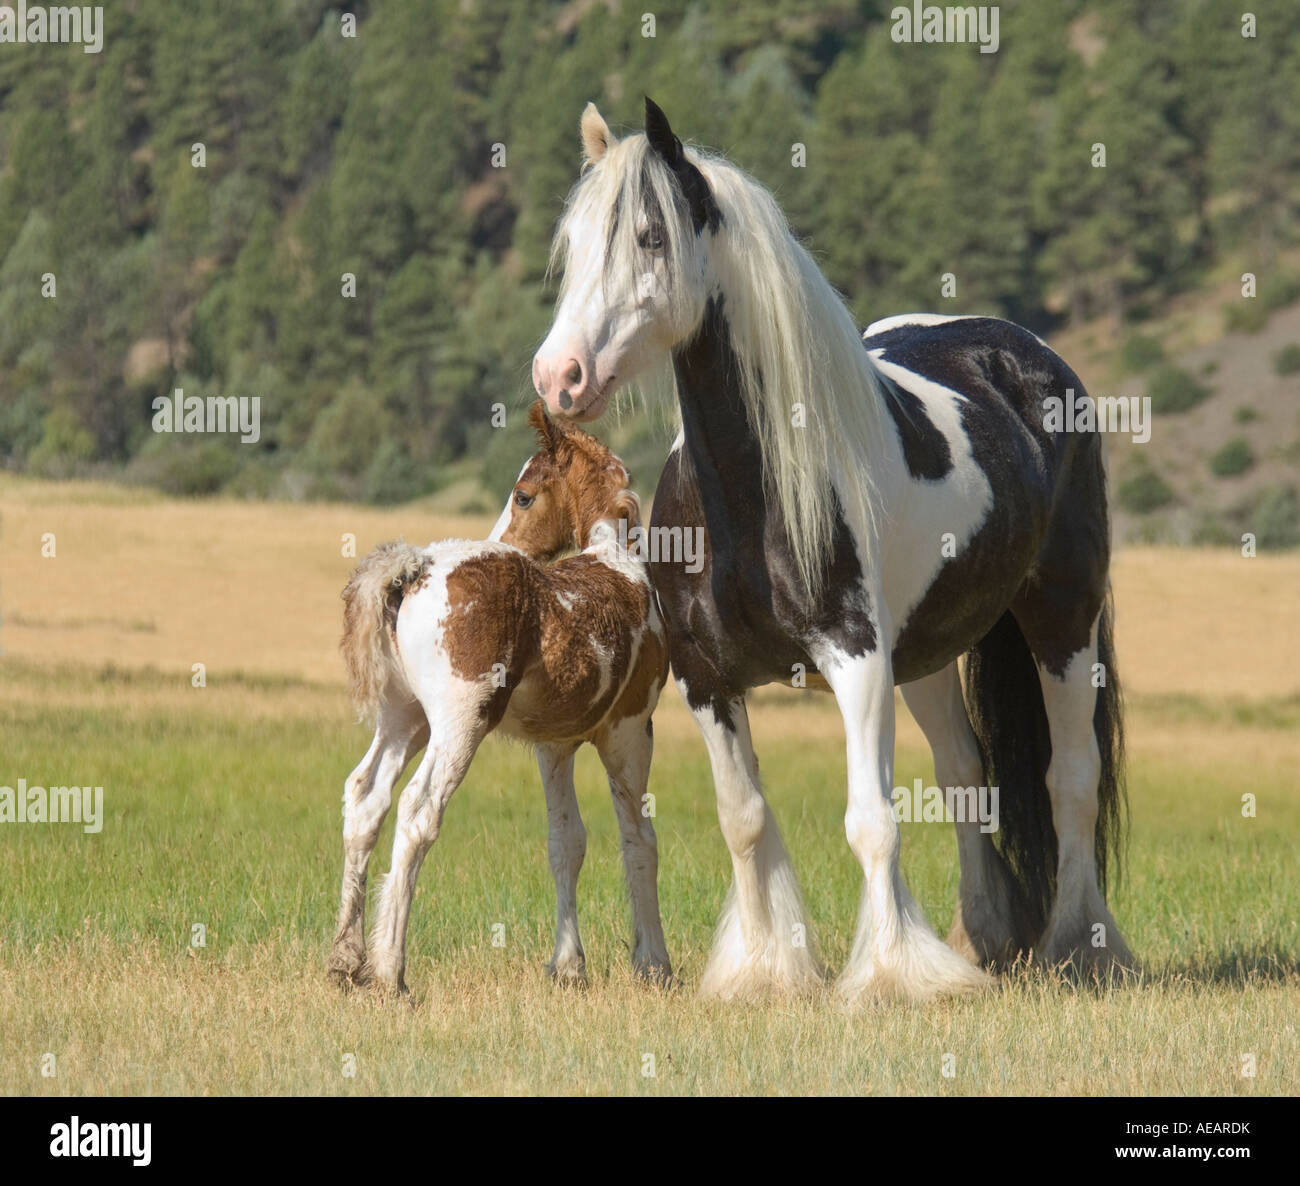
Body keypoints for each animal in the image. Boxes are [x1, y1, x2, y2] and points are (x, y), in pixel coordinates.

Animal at [328, 401, 672, 994]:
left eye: (524, 495)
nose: (509, 539)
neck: (615, 564)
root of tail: (413, 571)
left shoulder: (554, 747)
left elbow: (566, 844)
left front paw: (568, 966)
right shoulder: (629, 732)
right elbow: (638, 841)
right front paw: (653, 964)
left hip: (406, 720)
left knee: (366, 798)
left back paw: (347, 960)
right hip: (460, 724)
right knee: (417, 811)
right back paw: (391, 972)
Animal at [529, 97, 1134, 1003]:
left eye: (649, 236)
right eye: (572, 244)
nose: (557, 377)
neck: (753, 497)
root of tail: (1019, 351)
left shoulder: (857, 660)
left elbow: (872, 821)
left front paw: (888, 975)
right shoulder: (704, 678)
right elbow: (744, 821)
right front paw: (764, 971)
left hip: (1063, 619)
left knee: (1071, 780)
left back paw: (1076, 948)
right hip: (927, 656)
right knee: (966, 775)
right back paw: (983, 938)